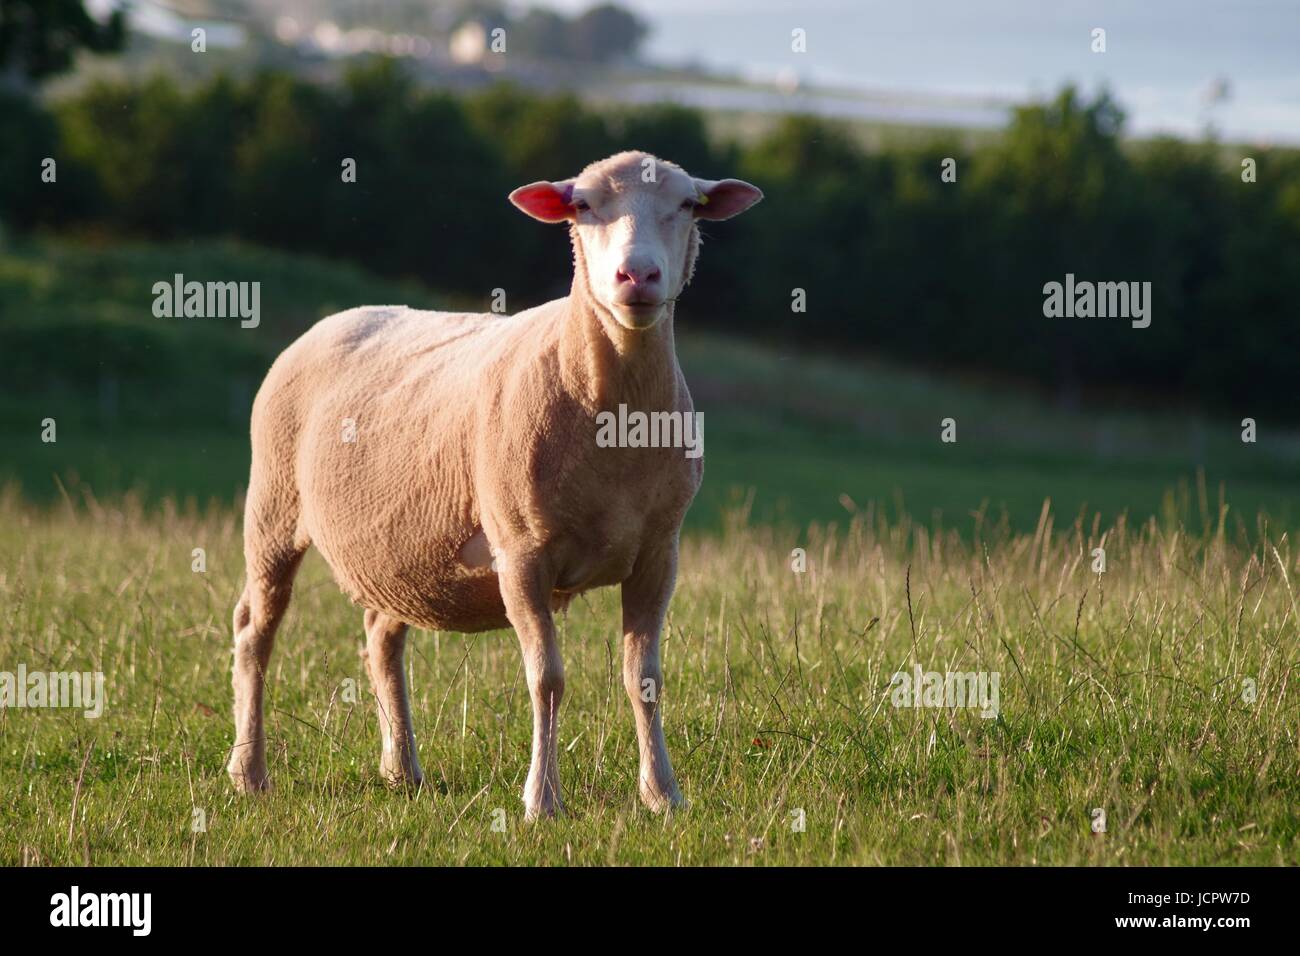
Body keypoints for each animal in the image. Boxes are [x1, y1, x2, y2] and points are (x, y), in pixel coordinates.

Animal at [226, 151, 762, 819]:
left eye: (689, 205)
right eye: (582, 205)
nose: (637, 275)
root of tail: (336, 320)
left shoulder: (659, 552)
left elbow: (645, 678)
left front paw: (663, 795)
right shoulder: (521, 552)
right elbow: (547, 679)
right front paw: (542, 801)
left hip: (401, 551)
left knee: (381, 639)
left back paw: (402, 770)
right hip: (272, 509)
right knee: (255, 631)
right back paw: (249, 772)